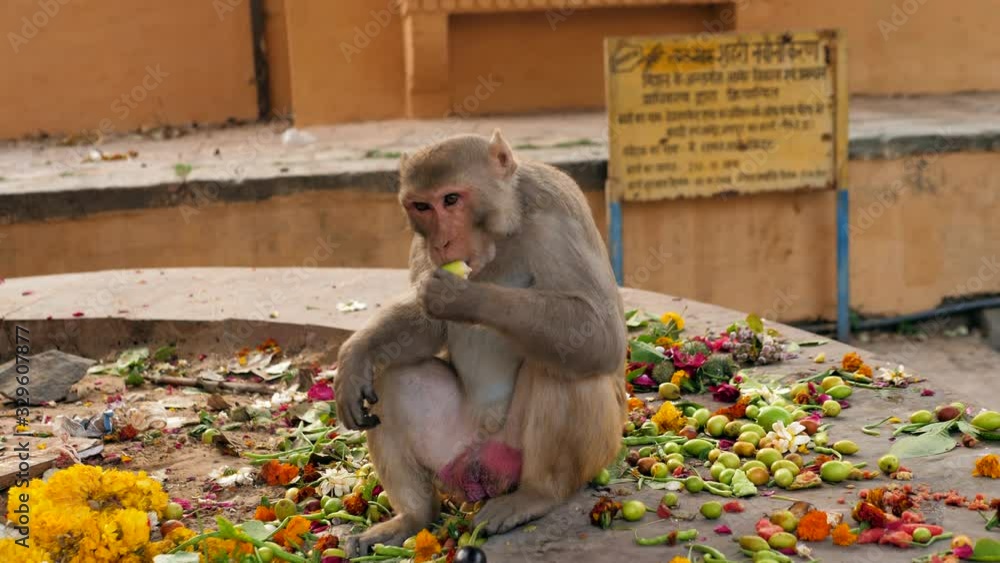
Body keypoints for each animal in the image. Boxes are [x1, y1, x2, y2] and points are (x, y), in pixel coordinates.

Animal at [335, 130, 627, 556]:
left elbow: (601, 332)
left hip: (573, 450)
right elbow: (426, 331)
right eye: (421, 206)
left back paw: (539, 493)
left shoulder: (556, 210)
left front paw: (464, 297)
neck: (503, 231)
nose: (442, 243)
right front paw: (357, 353)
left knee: (563, 365)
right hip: (454, 453)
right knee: (393, 378)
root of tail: (483, 467)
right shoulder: (419, 246)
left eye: (451, 199)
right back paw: (413, 517)